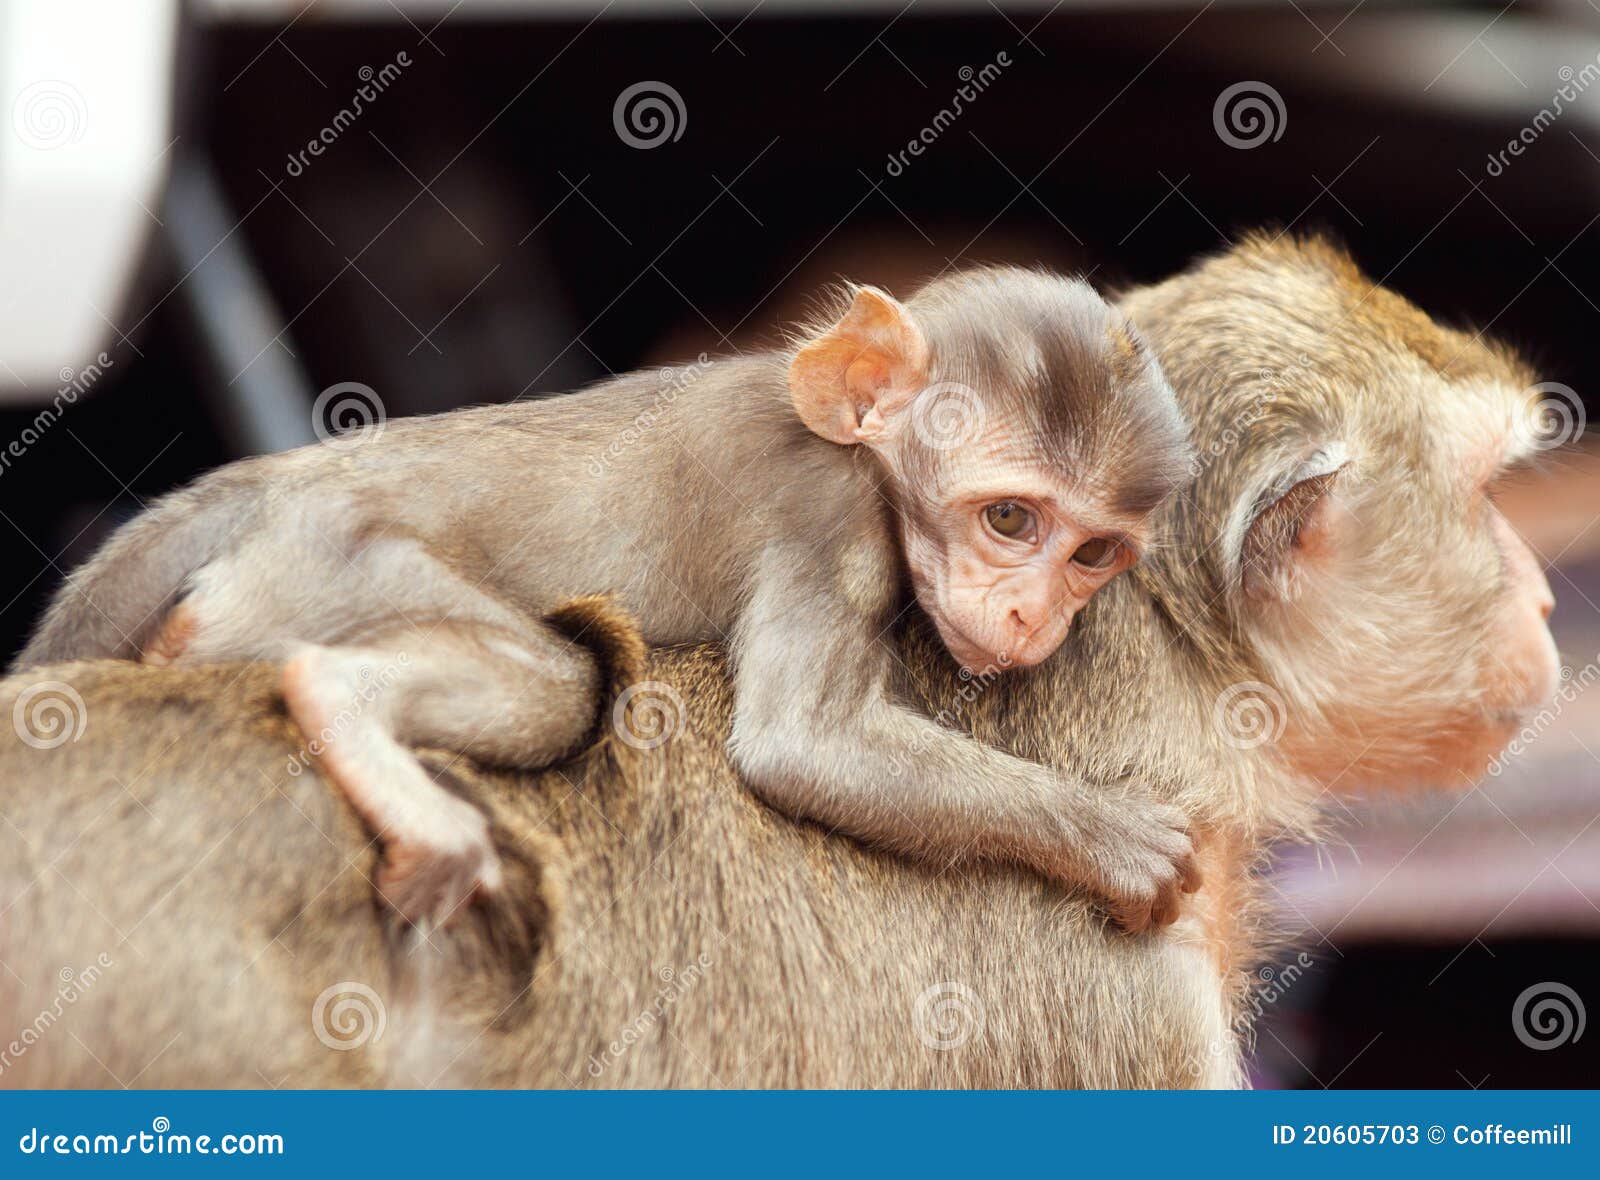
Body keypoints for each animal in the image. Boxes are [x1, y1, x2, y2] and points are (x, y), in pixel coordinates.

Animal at [13, 267, 1200, 933]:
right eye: (1009, 519)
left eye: (1093, 552)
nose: (1034, 616)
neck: (860, 450)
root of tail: (271, 479)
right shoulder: (826, 520)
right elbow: (801, 746)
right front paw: (1111, 837)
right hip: (322, 565)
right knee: (553, 683)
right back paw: (347, 711)